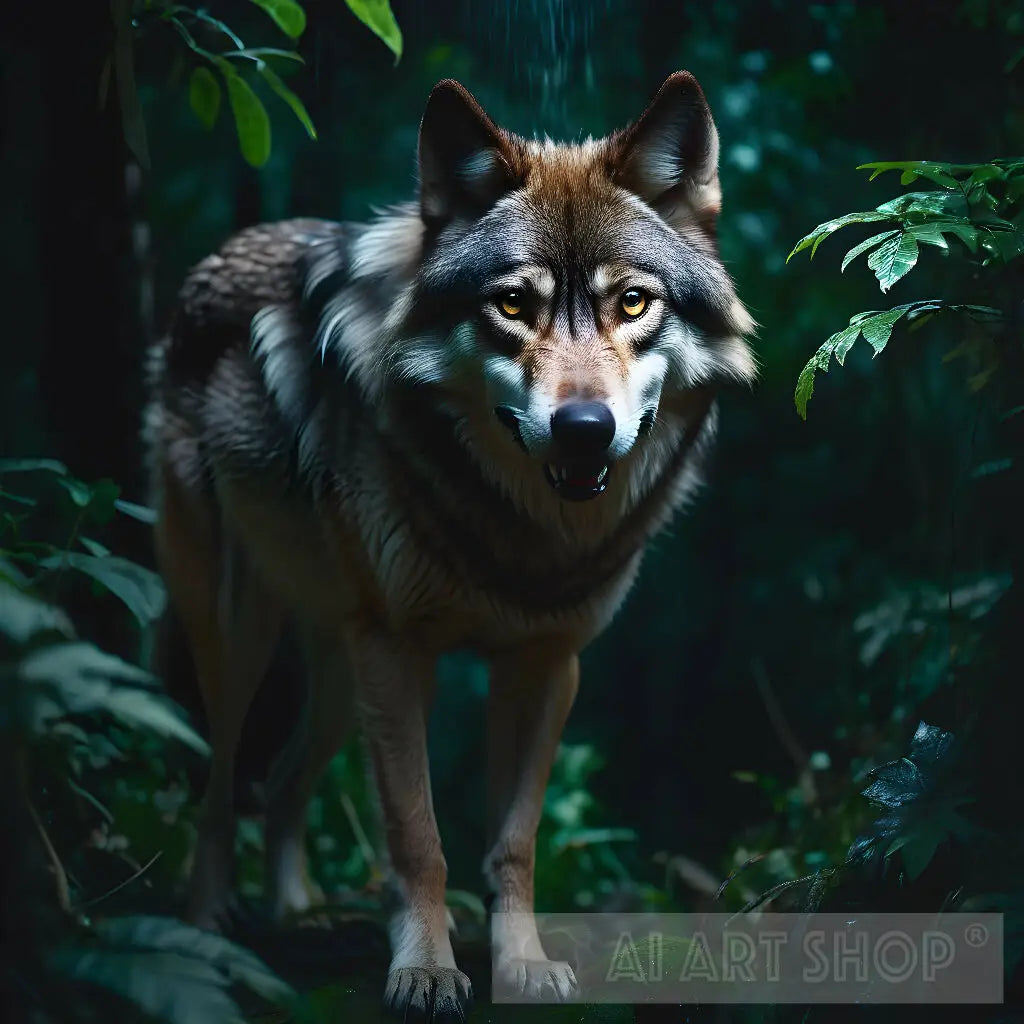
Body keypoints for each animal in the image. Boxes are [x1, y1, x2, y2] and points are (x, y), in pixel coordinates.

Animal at [144, 71, 755, 1020]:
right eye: (512, 304)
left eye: (632, 302)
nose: (585, 430)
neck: (524, 534)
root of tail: (212, 263)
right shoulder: (401, 654)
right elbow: (417, 837)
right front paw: (425, 972)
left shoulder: (546, 662)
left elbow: (513, 840)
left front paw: (523, 965)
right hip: (240, 640)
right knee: (219, 782)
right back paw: (211, 924)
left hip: (337, 675)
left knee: (282, 782)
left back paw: (301, 911)